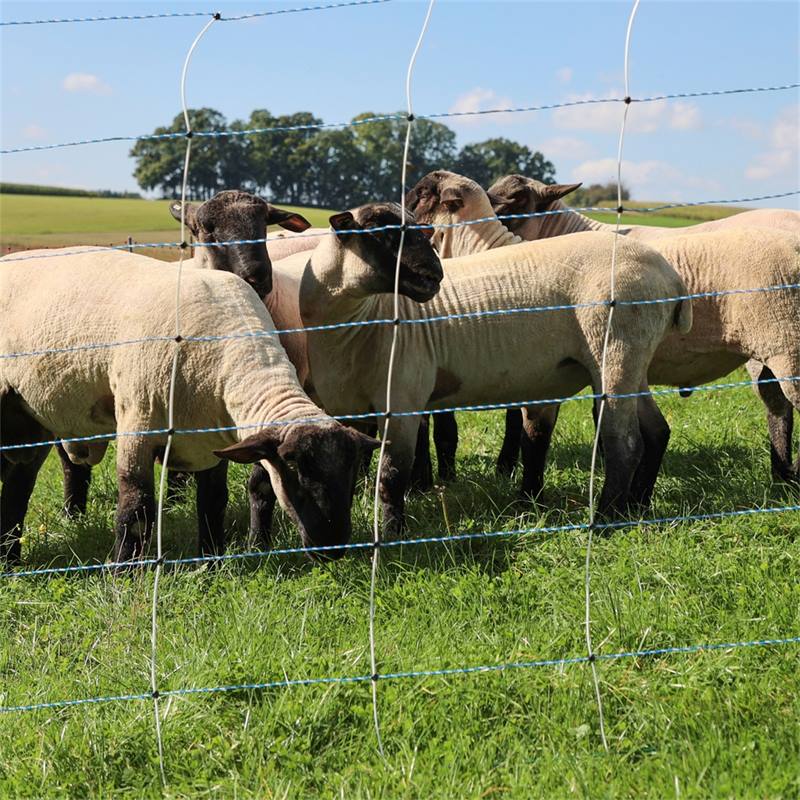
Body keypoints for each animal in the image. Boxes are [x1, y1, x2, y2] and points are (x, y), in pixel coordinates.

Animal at [0, 250, 378, 565]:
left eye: (351, 472)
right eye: (293, 465)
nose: (333, 547)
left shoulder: (211, 440)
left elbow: (213, 502)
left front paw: (211, 561)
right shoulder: (138, 421)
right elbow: (136, 509)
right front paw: (122, 574)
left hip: (28, 423)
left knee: (17, 488)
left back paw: (10, 560)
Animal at [294, 202, 691, 534]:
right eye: (384, 234)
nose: (435, 274)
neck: (357, 323)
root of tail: (669, 274)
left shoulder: (402, 397)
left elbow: (392, 474)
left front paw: (393, 533)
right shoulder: (349, 406)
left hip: (616, 348)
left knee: (624, 441)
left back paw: (605, 519)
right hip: (634, 356)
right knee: (657, 430)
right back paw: (638, 506)